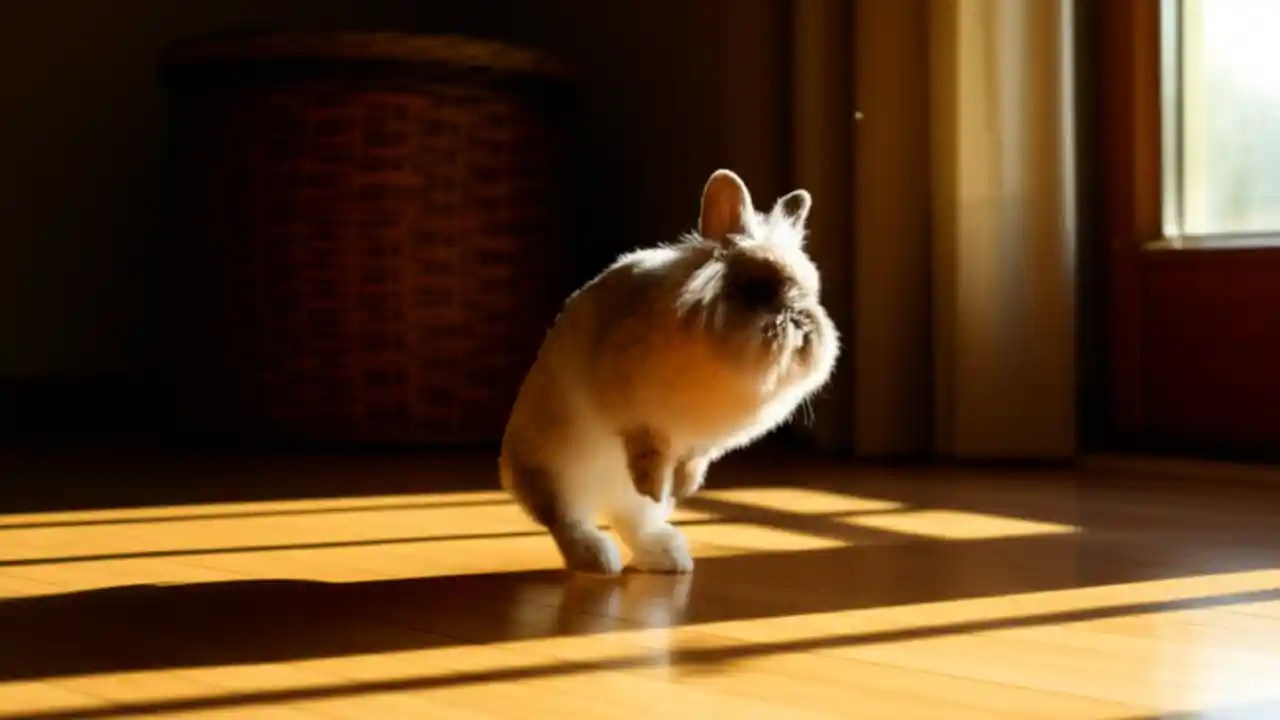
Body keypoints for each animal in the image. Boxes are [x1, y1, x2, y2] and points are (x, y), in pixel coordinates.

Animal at [499, 169, 840, 576]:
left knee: (631, 522)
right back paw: (600, 558)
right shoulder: (633, 410)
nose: (806, 329)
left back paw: (670, 556)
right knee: (567, 521)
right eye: (756, 290)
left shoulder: (707, 440)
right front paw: (653, 482)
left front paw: (682, 487)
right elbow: (646, 444)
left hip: (624, 503)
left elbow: (694, 458)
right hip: (557, 471)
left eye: (813, 292)